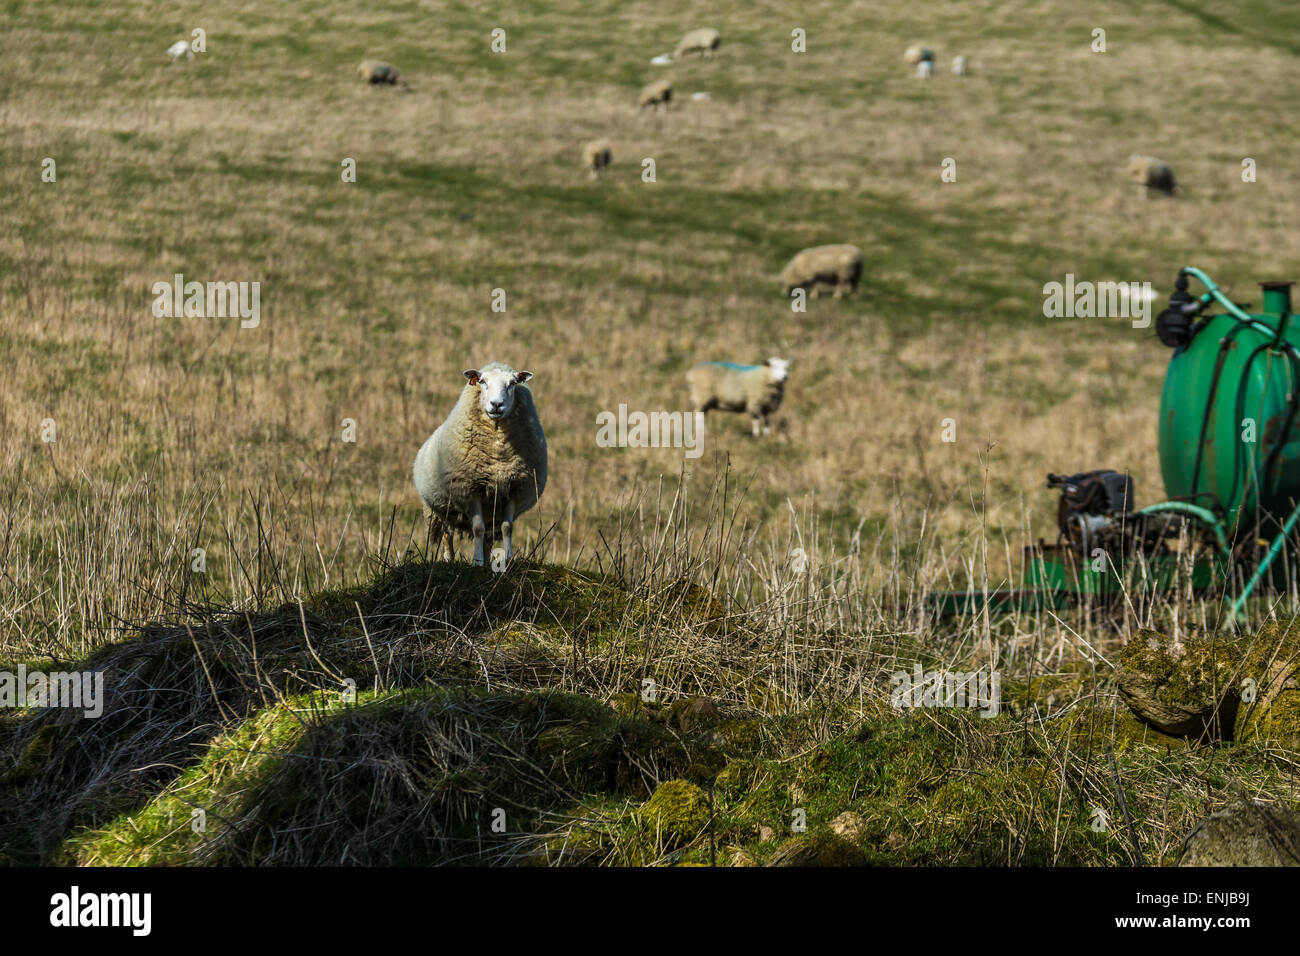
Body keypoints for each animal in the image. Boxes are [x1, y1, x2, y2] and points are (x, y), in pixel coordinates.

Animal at [413, 363, 547, 567]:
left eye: (513, 383)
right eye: (482, 381)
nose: (496, 404)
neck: (499, 452)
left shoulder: (513, 489)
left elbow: (507, 528)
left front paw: (508, 558)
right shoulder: (471, 490)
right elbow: (477, 528)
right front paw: (476, 561)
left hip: (490, 510)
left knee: (488, 536)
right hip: (441, 510)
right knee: (447, 534)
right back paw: (449, 559)